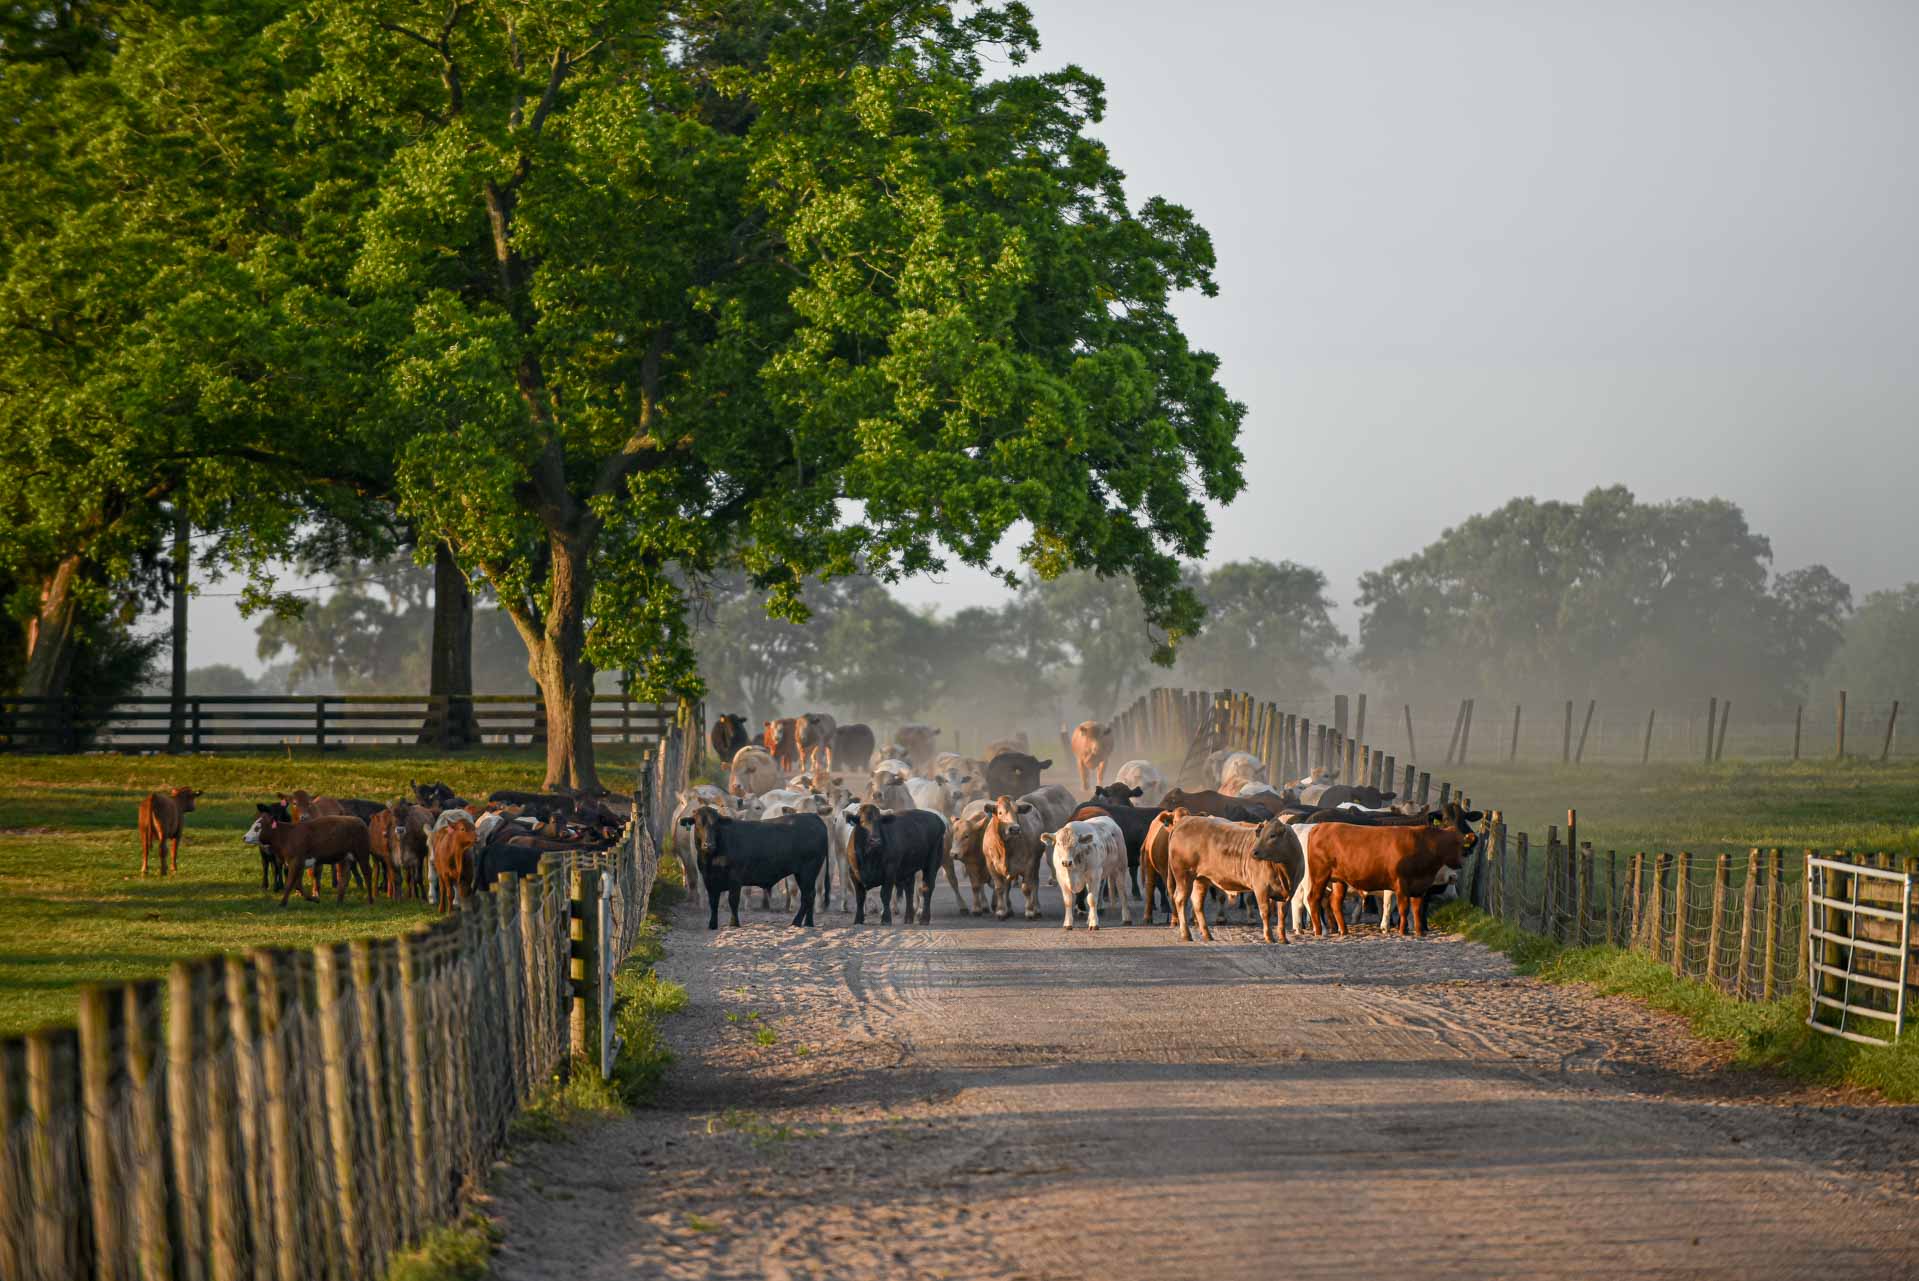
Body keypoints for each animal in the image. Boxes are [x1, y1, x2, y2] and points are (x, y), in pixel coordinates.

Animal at [680, 808, 829, 928]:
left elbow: (733, 900)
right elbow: (713, 902)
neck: (713, 857)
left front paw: (734, 923)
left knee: (807, 896)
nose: (708, 844)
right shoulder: (709, 879)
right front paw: (712, 924)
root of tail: (813, 816)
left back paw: (796, 922)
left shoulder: (735, 878)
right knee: (810, 895)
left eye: (716, 824)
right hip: (805, 873)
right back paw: (808, 923)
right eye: (698, 824)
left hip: (808, 870)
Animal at [1166, 815, 1304, 944]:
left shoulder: (1289, 892)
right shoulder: (1261, 888)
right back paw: (1186, 934)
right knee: (1180, 900)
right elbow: (1265, 912)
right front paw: (1269, 937)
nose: (1254, 852)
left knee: (1197, 903)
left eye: (1272, 835)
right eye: (1259, 835)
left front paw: (1283, 939)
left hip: (1200, 879)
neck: (1285, 872)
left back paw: (1207, 934)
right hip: (1184, 876)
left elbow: (1282, 914)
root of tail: (1185, 820)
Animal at [1301, 803, 1483, 937]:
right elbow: (1402, 908)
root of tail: (1318, 826)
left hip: (1339, 880)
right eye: (1444, 819)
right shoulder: (1400, 883)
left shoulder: (1420, 886)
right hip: (1319, 877)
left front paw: (1419, 930)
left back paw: (1342, 930)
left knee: (1334, 902)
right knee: (1312, 899)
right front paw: (1402, 930)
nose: (1469, 847)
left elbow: (1417, 908)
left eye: (1464, 819)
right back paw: (1319, 930)